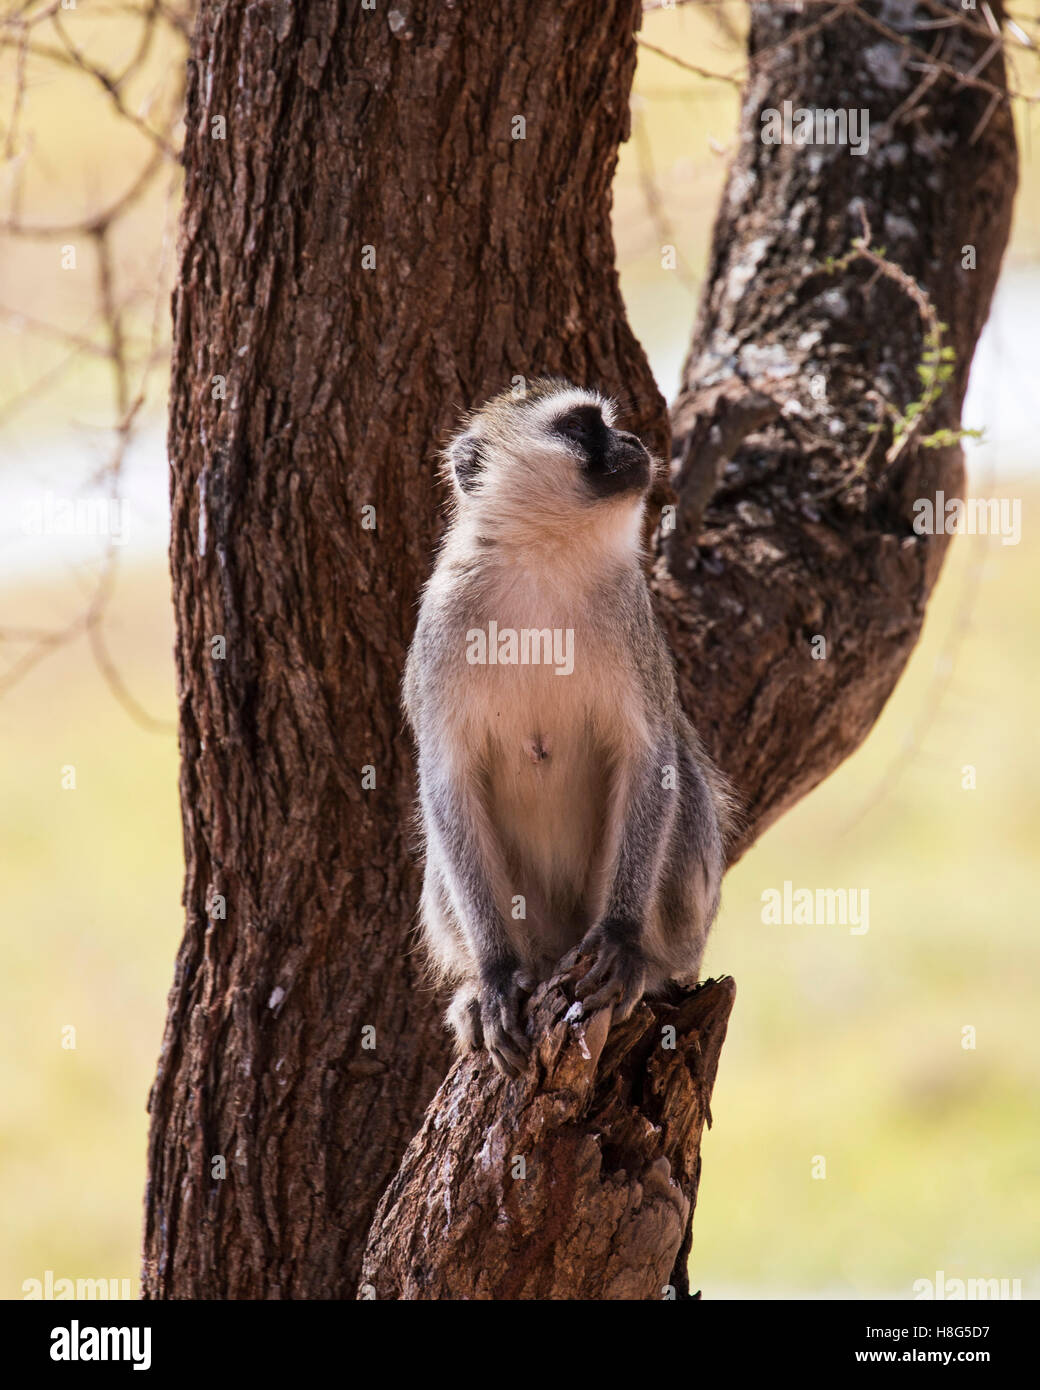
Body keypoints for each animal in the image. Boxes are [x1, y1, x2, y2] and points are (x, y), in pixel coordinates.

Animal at [403, 378, 735, 1078]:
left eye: (608, 424)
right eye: (582, 428)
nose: (633, 440)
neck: (544, 559)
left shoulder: (632, 613)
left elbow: (651, 755)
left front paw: (622, 939)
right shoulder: (439, 623)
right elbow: (446, 783)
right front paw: (495, 975)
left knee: (685, 783)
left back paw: (648, 965)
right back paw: (481, 988)